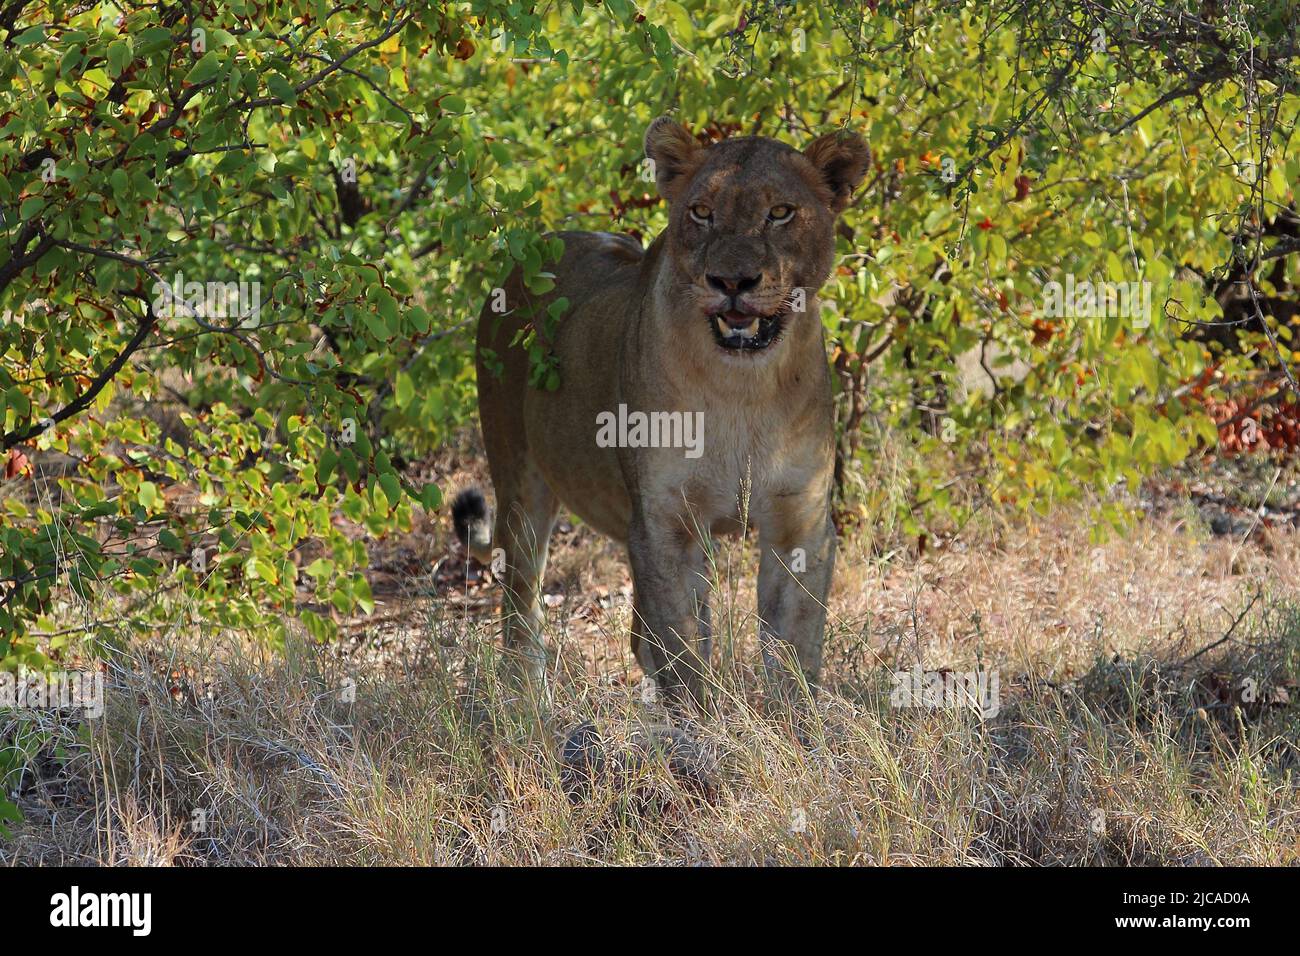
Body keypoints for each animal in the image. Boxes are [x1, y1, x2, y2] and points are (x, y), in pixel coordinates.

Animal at [454, 116, 871, 711]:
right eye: (701, 212)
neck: (742, 387)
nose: (731, 282)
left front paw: (793, 724)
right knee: (519, 600)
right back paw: (526, 697)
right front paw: (698, 727)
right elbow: (684, 646)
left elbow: (793, 644)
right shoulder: (664, 518)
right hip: (519, 484)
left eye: (780, 212)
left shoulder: (801, 518)